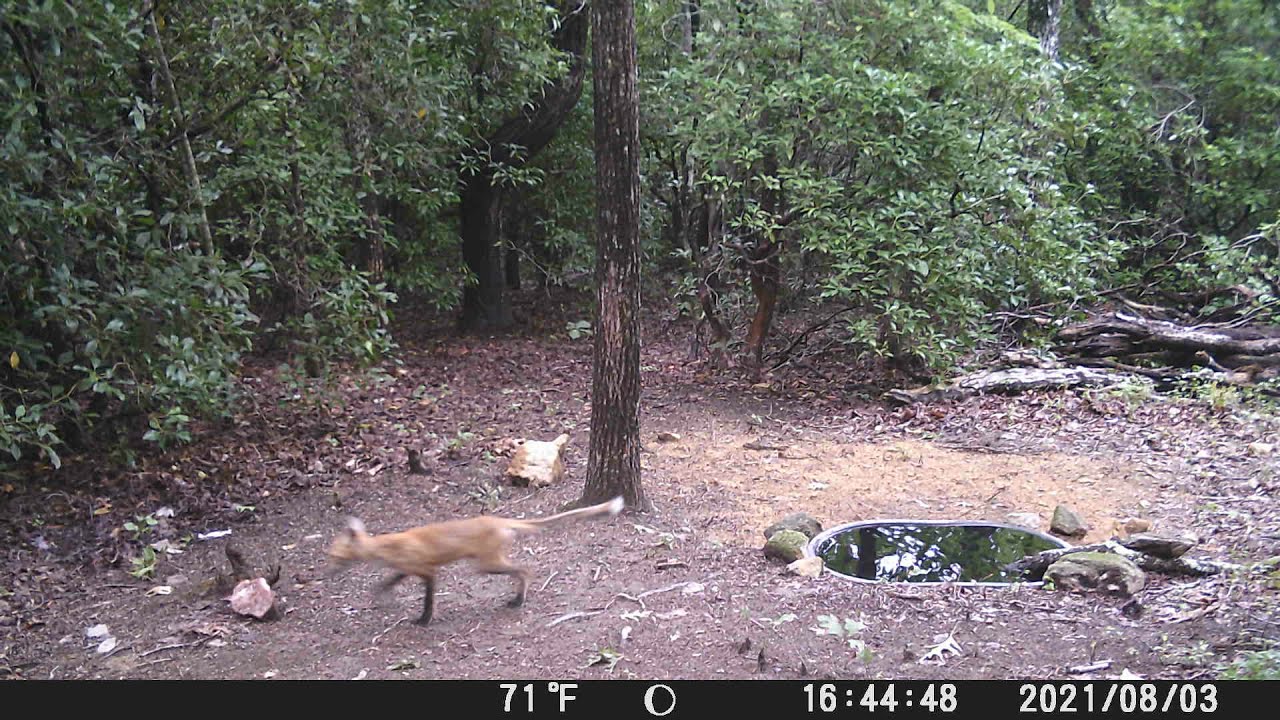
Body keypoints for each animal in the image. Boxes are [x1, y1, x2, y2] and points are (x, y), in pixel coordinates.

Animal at [326, 496, 625, 626]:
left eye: (335, 556)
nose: (325, 573)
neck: (390, 546)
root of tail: (496, 519)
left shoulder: (428, 571)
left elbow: (428, 601)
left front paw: (424, 620)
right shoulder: (407, 570)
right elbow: (387, 583)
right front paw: (380, 594)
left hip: (485, 565)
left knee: (526, 570)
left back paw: (518, 600)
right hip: (487, 564)